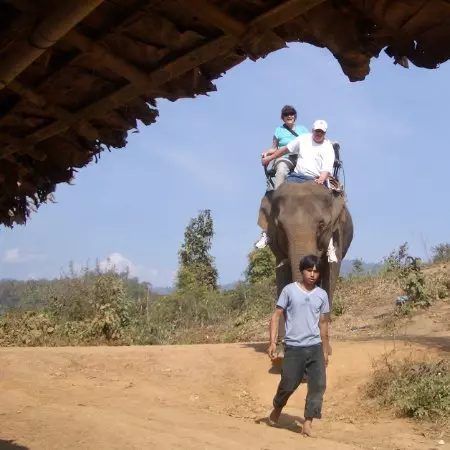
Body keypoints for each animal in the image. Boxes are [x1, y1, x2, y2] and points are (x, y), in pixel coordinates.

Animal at [258, 181, 354, 350]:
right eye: (280, 227)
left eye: (322, 225)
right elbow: (282, 277)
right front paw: (282, 348)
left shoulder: (337, 233)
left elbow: (331, 274)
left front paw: (324, 346)